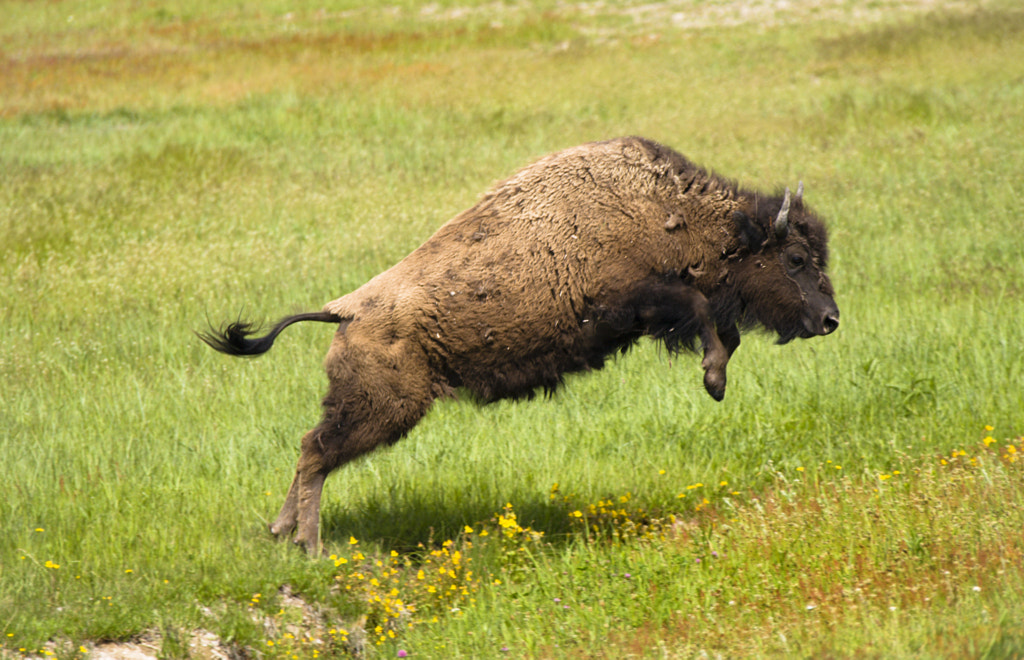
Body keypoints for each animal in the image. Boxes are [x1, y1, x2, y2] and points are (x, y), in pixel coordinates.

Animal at [200, 137, 839, 552]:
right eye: (796, 258)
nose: (831, 319)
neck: (666, 210)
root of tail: (345, 310)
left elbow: (723, 327)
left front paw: (716, 378)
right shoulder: (638, 298)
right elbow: (706, 316)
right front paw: (714, 381)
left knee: (310, 449)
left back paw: (282, 532)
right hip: (385, 408)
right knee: (316, 451)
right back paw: (308, 544)